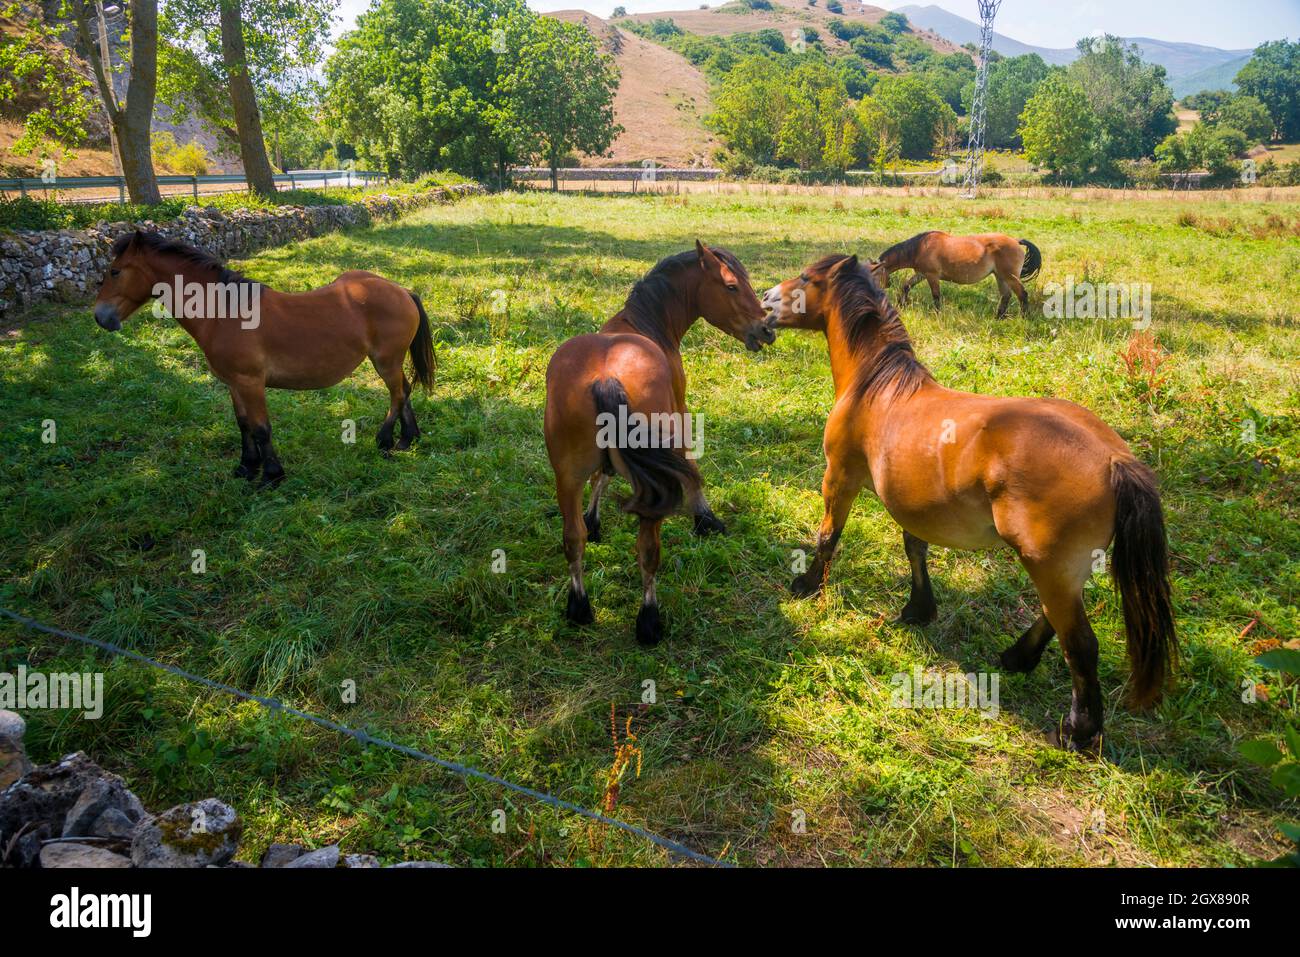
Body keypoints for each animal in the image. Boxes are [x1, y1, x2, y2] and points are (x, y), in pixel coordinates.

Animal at [91, 230, 435, 487]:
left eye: (114, 271)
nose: (100, 317)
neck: (224, 312)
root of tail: (402, 291)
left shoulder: (251, 383)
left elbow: (261, 428)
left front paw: (271, 475)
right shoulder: (234, 384)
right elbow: (243, 425)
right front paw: (246, 467)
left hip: (385, 361)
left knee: (397, 394)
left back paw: (385, 441)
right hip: (390, 362)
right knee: (404, 391)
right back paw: (408, 438)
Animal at [544, 241, 773, 645]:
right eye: (731, 286)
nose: (766, 329)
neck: (643, 322)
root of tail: (605, 377)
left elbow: (601, 478)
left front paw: (594, 519)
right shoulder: (680, 417)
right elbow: (692, 466)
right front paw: (705, 518)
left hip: (566, 477)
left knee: (573, 540)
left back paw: (579, 608)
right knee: (648, 550)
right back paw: (649, 621)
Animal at [761, 254, 1175, 750]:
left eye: (807, 279)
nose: (764, 300)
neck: (876, 387)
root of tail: (1115, 457)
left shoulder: (839, 478)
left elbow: (828, 537)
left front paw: (807, 586)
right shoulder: (911, 504)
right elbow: (915, 549)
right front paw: (919, 610)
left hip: (1049, 566)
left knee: (1080, 645)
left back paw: (1078, 731)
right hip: (1066, 569)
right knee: (1054, 618)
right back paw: (1017, 658)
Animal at [868, 231, 1042, 319]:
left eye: (873, 276)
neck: (920, 247)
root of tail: (1016, 241)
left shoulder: (932, 276)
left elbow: (936, 296)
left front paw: (937, 314)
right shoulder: (921, 274)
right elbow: (906, 286)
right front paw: (902, 303)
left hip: (1009, 277)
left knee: (1022, 295)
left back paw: (1024, 317)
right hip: (1000, 277)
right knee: (1006, 296)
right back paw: (998, 317)